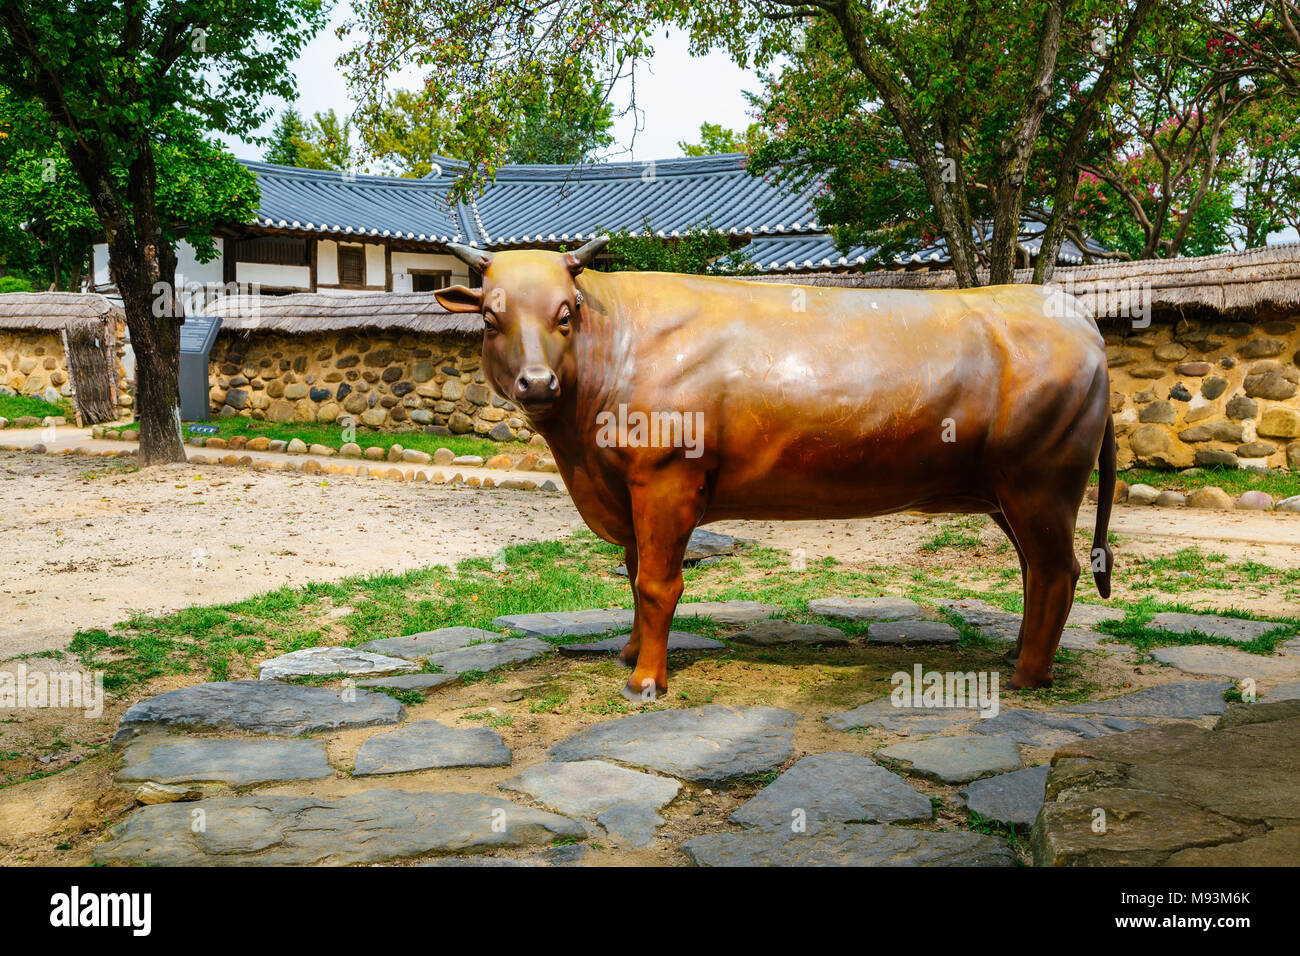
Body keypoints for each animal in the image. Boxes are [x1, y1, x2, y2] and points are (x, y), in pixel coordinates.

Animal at [435, 237, 1116, 702]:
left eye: (566, 312)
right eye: (491, 318)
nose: (537, 382)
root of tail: (1070, 310)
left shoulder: (665, 479)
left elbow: (657, 584)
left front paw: (645, 681)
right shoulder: (627, 491)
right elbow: (633, 576)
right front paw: (628, 654)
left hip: (1041, 484)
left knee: (1056, 572)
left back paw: (1027, 675)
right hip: (1009, 494)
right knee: (1034, 571)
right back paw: (1019, 654)